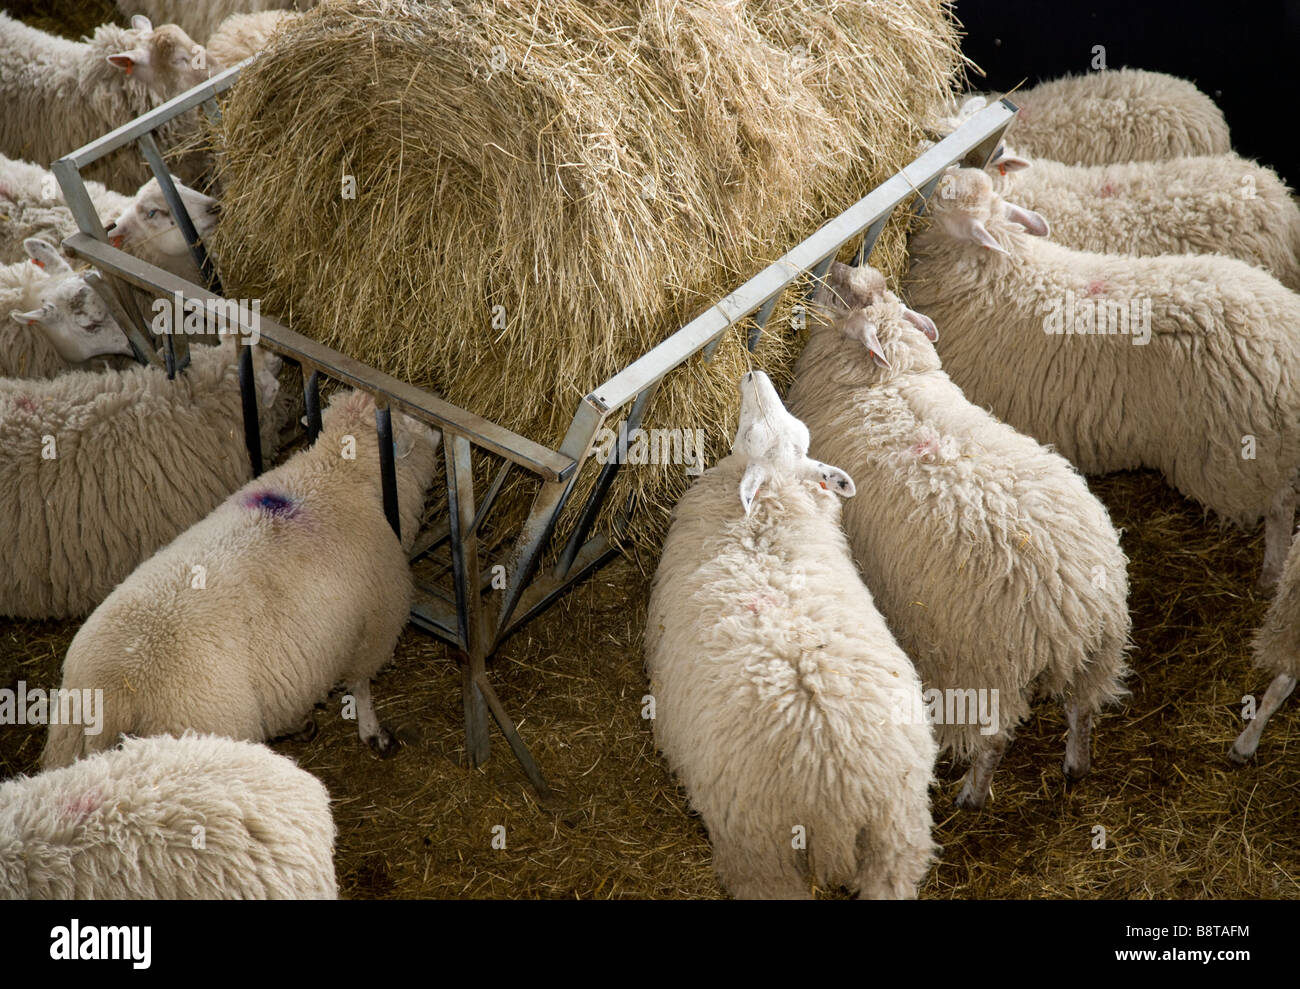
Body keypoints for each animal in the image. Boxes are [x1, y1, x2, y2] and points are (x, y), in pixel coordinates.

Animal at [41, 388, 441, 769]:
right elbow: (361, 687)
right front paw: (373, 733)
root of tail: (116, 691)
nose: (437, 426)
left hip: (66, 738)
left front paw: (304, 722)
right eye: (411, 417)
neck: (339, 474)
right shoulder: (372, 625)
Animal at [644, 369, 936, 899]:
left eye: (746, 437)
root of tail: (840, 789)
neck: (769, 507)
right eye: (797, 438)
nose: (753, 373)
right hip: (897, 840)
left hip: (764, 852)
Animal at [785, 262, 1131, 808]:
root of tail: (1070, 607)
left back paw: (972, 794)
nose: (836, 265)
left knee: (994, 738)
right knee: (1083, 707)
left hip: (981, 672)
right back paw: (1076, 763)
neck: (885, 382)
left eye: (845, 296)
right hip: (1102, 650)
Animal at [903, 167, 1300, 590]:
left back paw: (1272, 574)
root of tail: (1287, 341)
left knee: (1279, 508)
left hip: (1242, 456)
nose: (941, 175)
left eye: (948, 195)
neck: (998, 273)